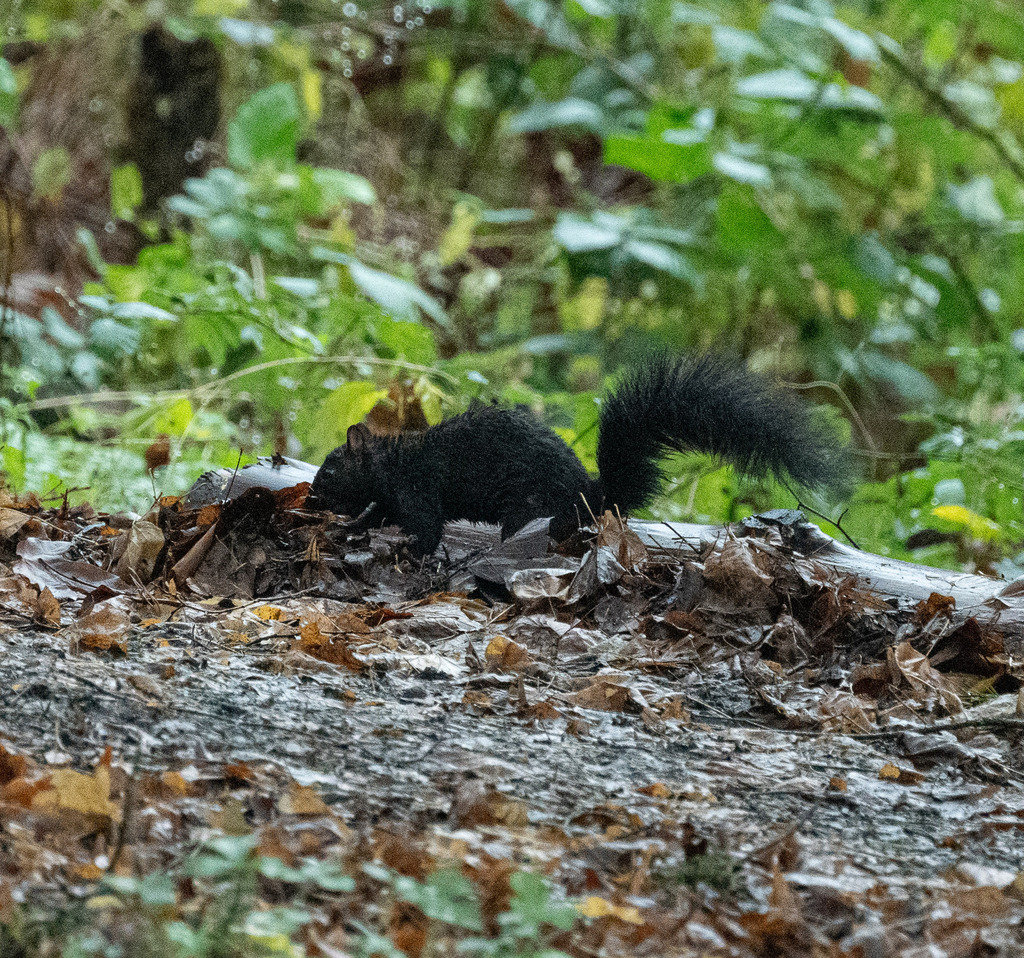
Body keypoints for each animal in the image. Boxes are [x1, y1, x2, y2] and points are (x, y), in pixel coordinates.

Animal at [309, 354, 849, 555]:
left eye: (330, 469)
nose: (312, 497)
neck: (394, 462)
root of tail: (590, 493)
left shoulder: (418, 488)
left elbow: (425, 526)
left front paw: (409, 549)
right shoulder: (392, 495)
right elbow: (377, 513)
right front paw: (352, 526)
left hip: (527, 504)